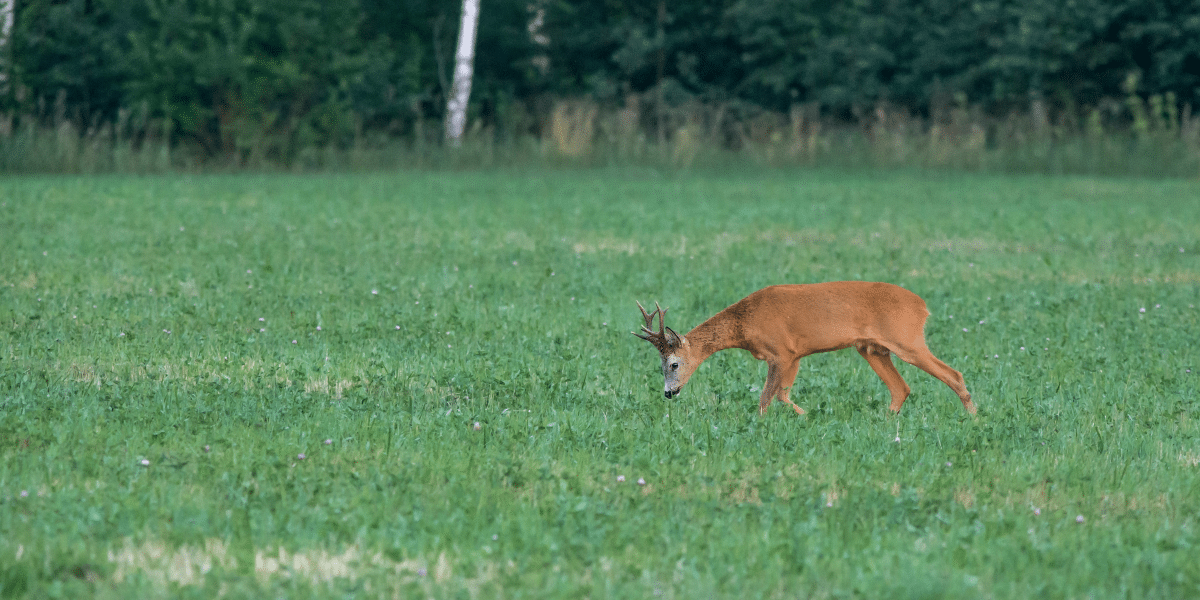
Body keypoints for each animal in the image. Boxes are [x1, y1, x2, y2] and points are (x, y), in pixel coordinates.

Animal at [633, 282, 976, 416]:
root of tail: (922, 306)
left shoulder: (780, 352)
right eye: (659, 366)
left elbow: (766, 398)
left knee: (954, 374)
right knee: (900, 388)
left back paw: (973, 418)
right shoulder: (795, 355)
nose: (668, 393)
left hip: (907, 339)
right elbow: (783, 395)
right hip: (872, 349)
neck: (745, 323)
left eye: (674, 363)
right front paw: (807, 416)